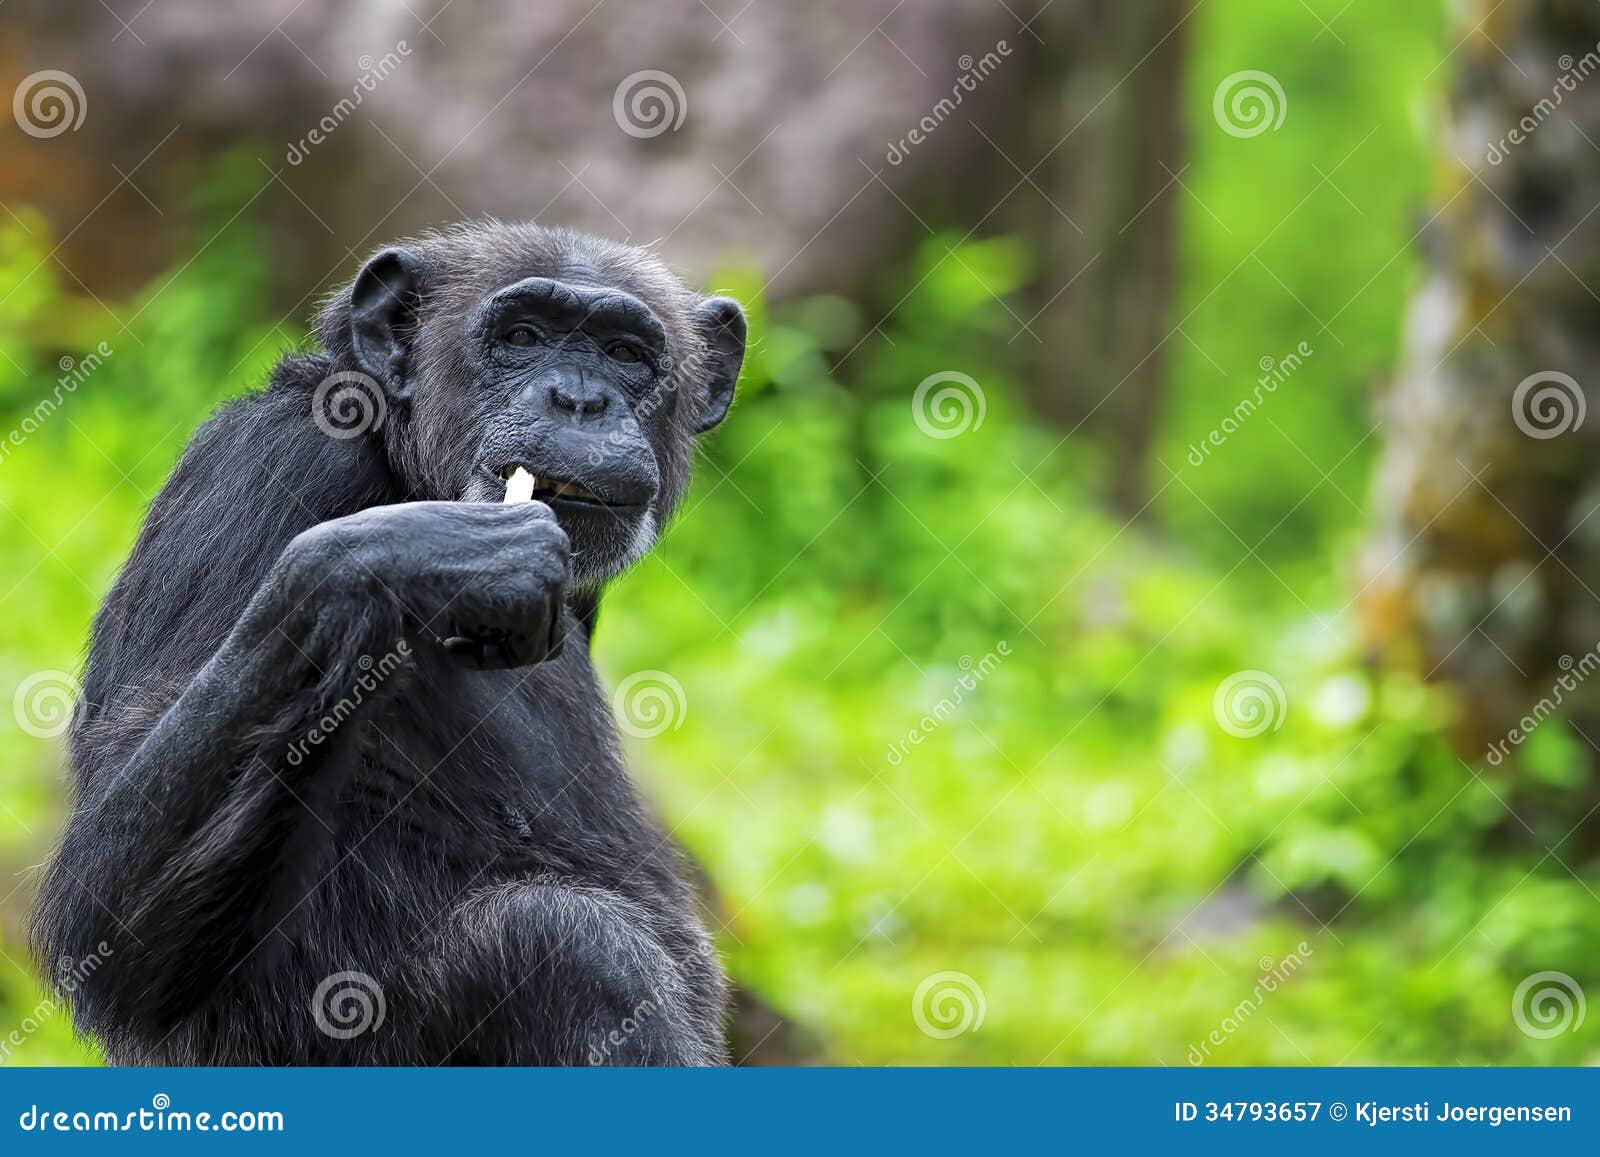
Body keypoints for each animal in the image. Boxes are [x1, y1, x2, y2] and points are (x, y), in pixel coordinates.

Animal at [30, 222, 747, 1065]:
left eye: (625, 352)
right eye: (523, 336)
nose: (579, 398)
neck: (402, 462)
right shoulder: (268, 469)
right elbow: (110, 924)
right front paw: (427, 555)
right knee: (567, 941)